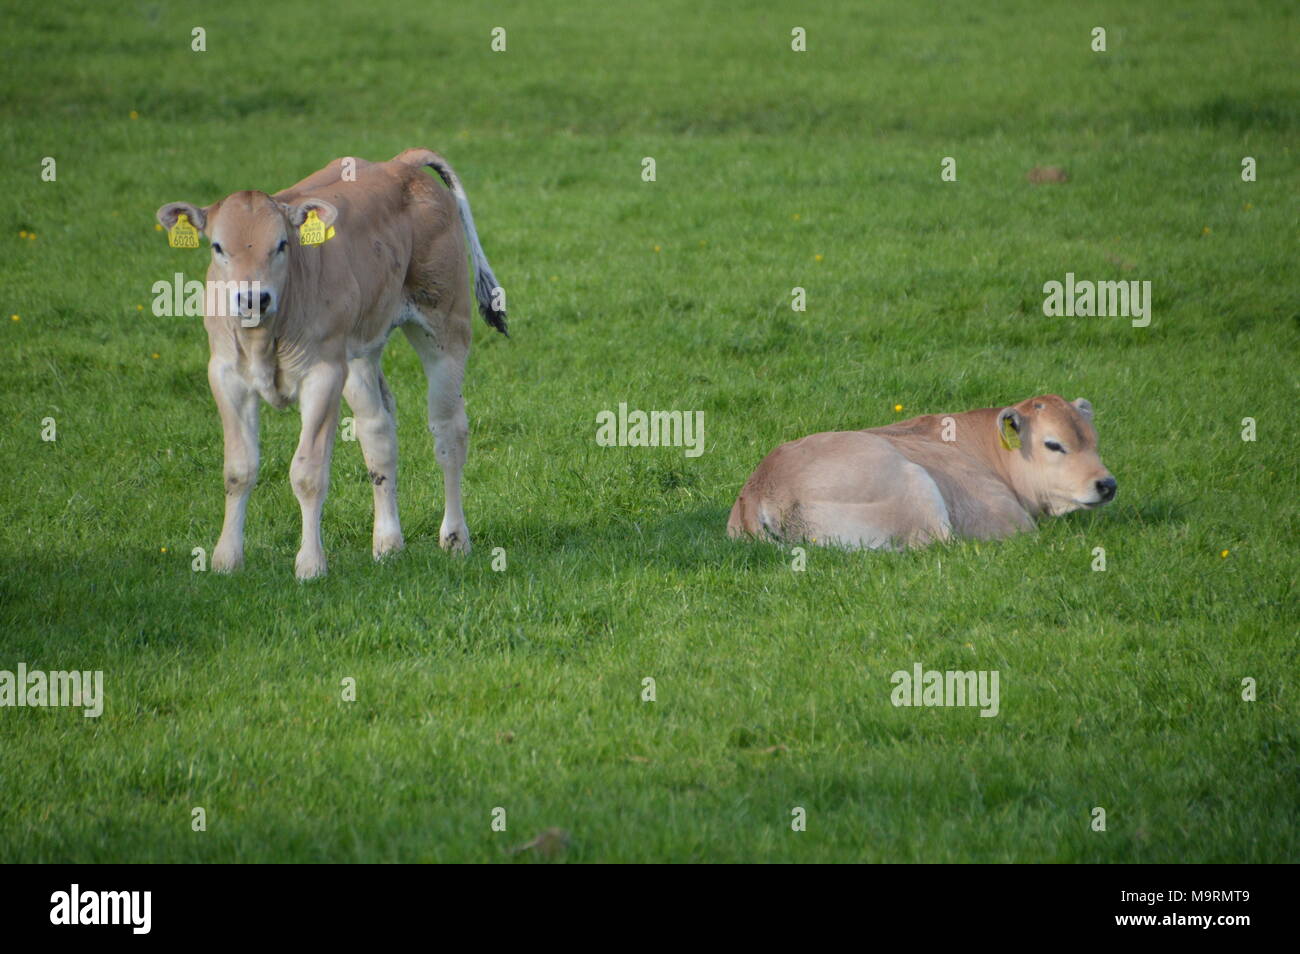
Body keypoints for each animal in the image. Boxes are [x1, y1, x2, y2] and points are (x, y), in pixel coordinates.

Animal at [156, 149, 507, 579]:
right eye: (218, 247)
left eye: (282, 244)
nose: (253, 298)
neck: (265, 338)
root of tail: (399, 163)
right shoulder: (225, 376)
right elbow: (238, 470)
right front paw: (226, 559)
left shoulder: (322, 375)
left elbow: (307, 473)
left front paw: (310, 564)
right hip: (359, 356)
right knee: (378, 434)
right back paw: (387, 543)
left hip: (445, 324)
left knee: (448, 432)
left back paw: (455, 538)